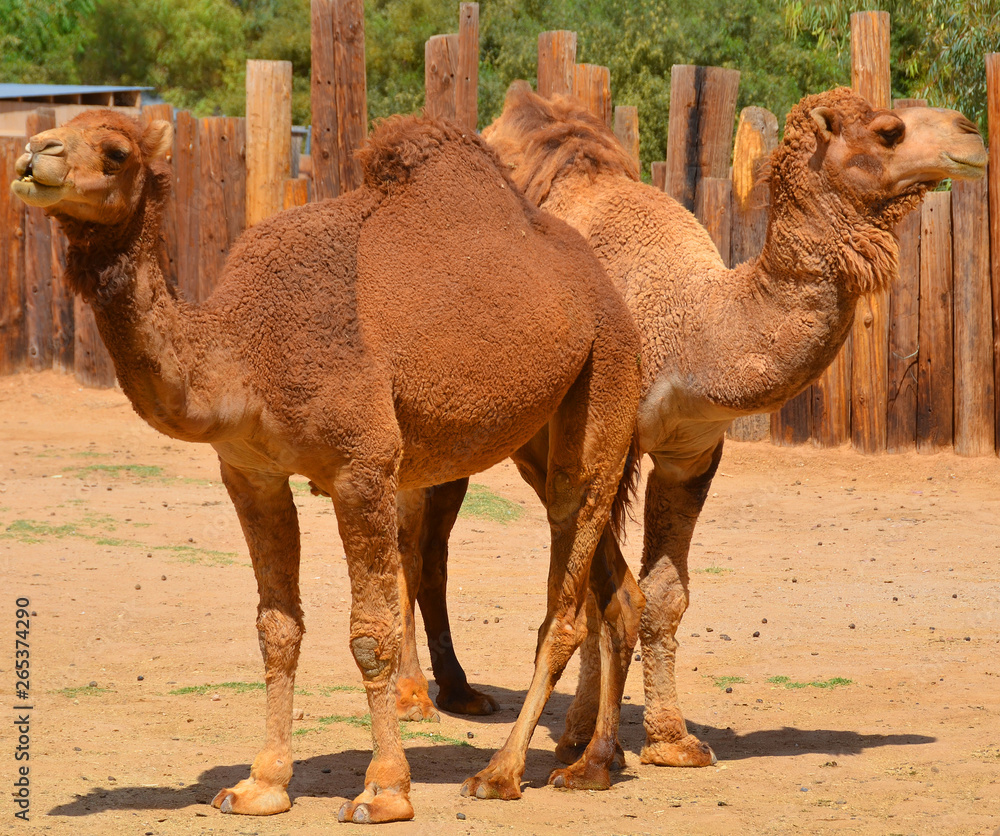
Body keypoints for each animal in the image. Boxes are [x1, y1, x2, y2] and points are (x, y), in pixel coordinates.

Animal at [10, 109, 643, 820]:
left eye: (116, 151)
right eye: (63, 127)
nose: (35, 152)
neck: (245, 354)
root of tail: (602, 286)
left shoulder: (362, 467)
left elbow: (370, 634)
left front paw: (385, 790)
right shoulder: (250, 474)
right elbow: (276, 627)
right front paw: (261, 784)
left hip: (605, 377)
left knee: (567, 587)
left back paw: (501, 772)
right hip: (539, 432)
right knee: (617, 590)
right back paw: (593, 765)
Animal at [396, 85, 987, 787]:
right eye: (889, 130)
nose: (973, 134)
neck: (691, 329)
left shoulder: (691, 451)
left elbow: (662, 596)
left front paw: (667, 740)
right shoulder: (604, 447)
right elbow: (599, 593)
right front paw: (582, 743)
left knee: (434, 547)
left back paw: (461, 692)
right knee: (408, 541)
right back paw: (410, 698)